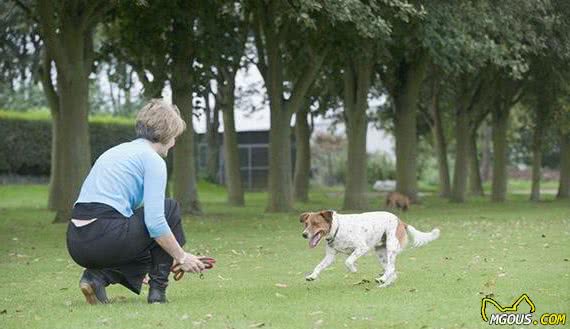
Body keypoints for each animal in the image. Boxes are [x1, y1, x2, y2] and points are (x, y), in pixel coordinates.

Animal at [298, 209, 440, 286]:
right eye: (306, 224)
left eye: (316, 223)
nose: (304, 234)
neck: (338, 229)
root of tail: (400, 221)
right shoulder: (330, 256)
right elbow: (318, 266)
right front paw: (312, 276)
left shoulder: (362, 248)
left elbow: (348, 260)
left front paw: (353, 269)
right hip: (381, 253)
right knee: (392, 270)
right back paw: (385, 283)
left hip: (390, 247)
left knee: (391, 268)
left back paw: (382, 279)